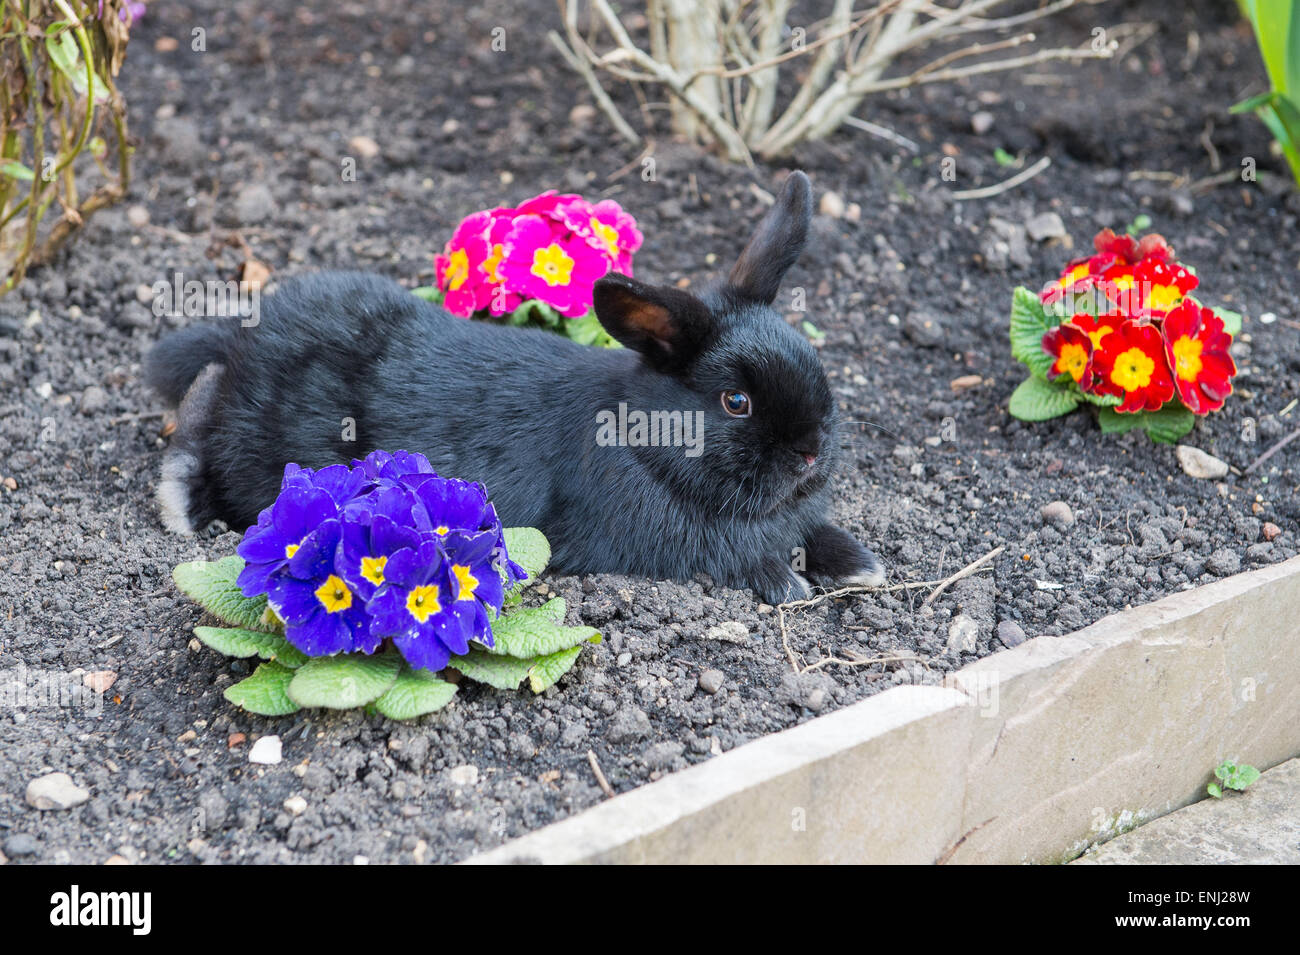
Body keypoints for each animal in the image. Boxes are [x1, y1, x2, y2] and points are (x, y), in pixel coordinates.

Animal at [145, 170, 884, 604]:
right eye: (736, 401)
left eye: (815, 362)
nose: (811, 453)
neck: (646, 445)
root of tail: (252, 338)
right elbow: (734, 559)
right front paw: (787, 582)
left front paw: (860, 564)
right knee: (208, 432)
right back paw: (179, 500)